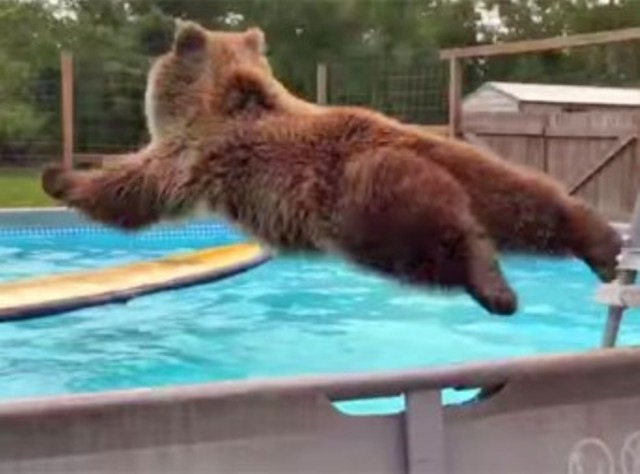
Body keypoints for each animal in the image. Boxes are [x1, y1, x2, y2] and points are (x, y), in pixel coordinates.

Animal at [41, 20, 622, 317]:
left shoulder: (194, 153)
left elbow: (134, 188)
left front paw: (59, 177)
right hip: (473, 167)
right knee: (529, 202)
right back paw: (602, 244)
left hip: (364, 203)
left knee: (434, 243)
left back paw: (494, 288)